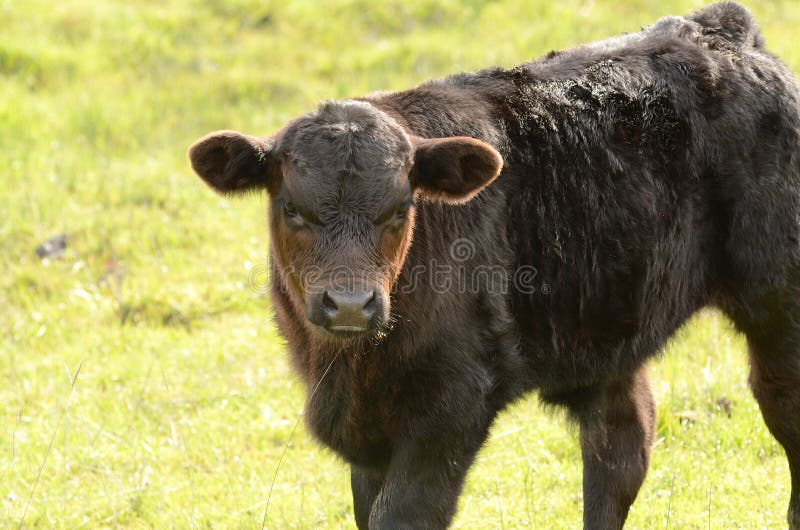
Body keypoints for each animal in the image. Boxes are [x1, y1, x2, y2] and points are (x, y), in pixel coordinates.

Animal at [188, 2, 800, 528]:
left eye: (400, 208)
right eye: (291, 207)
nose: (350, 305)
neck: (354, 368)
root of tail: (719, 30)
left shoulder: (451, 410)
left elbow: (401, 514)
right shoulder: (367, 438)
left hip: (780, 310)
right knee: (620, 447)